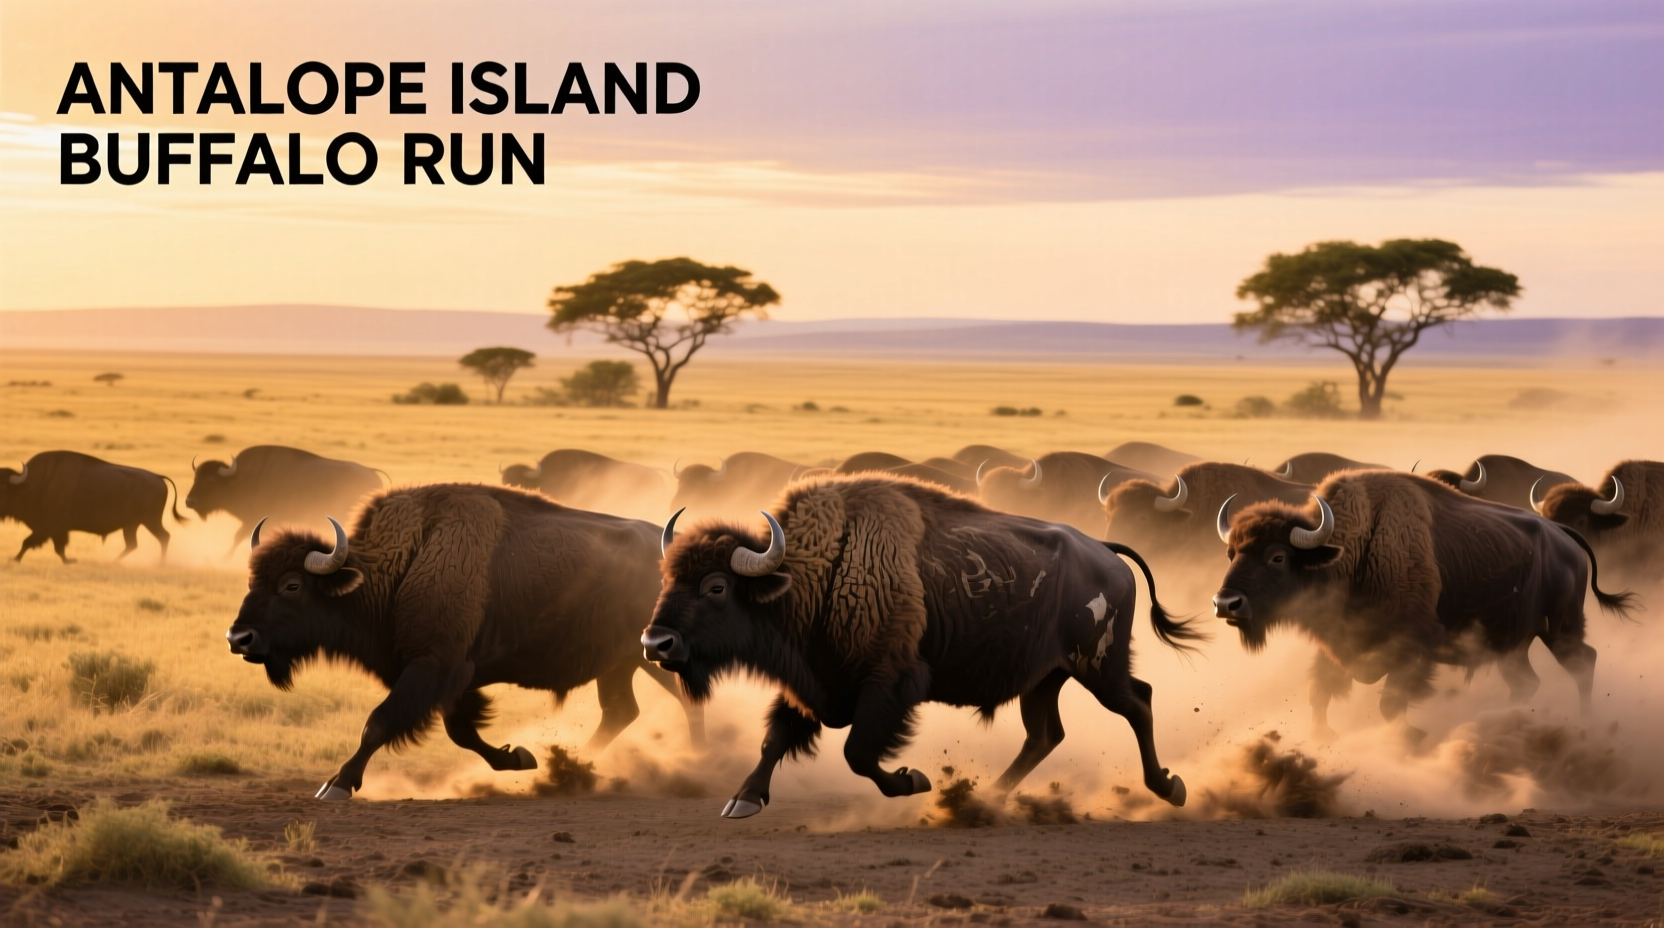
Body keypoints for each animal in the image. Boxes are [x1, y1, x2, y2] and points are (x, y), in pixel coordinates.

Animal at [1, 451, 186, 564]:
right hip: (132, 525)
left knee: (163, 536)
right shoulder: (56, 530)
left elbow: (28, 542)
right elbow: (58, 548)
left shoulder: (48, 527)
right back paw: (114, 562)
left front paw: (14, 559)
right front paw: (70, 560)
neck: (32, 485)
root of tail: (158, 477)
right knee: (133, 544)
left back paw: (160, 563)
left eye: (3, 488)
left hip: (150, 521)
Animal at [225, 484, 703, 800]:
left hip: (651, 658)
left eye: (291, 586)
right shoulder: (450, 678)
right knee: (624, 710)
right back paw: (571, 769)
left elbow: (379, 722)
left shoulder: (433, 666)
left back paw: (693, 765)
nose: (239, 637)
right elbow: (462, 732)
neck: (404, 564)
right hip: (625, 663)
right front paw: (521, 759)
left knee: (682, 701)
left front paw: (336, 784)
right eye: (251, 581)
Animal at [642, 475, 1202, 817]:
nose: (656, 642)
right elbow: (776, 738)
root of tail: (1106, 553)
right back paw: (988, 799)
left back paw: (1170, 788)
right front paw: (743, 800)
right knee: (1046, 735)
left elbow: (857, 753)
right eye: (667, 578)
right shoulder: (809, 684)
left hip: (1098, 667)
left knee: (1138, 703)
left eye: (716, 587)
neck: (817, 575)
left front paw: (914, 781)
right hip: (1046, 678)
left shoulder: (890, 683)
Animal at [1211, 471, 1635, 741]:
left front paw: (1413, 737)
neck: (1354, 550)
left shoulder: (1413, 648)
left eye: (1277, 557)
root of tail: (1563, 536)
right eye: (1232, 553)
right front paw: (1323, 735)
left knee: (1582, 663)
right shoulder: (1336, 643)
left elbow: (1391, 704)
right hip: (1514, 645)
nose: (1226, 603)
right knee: (1529, 682)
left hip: (1560, 628)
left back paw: (1584, 725)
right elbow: (1320, 691)